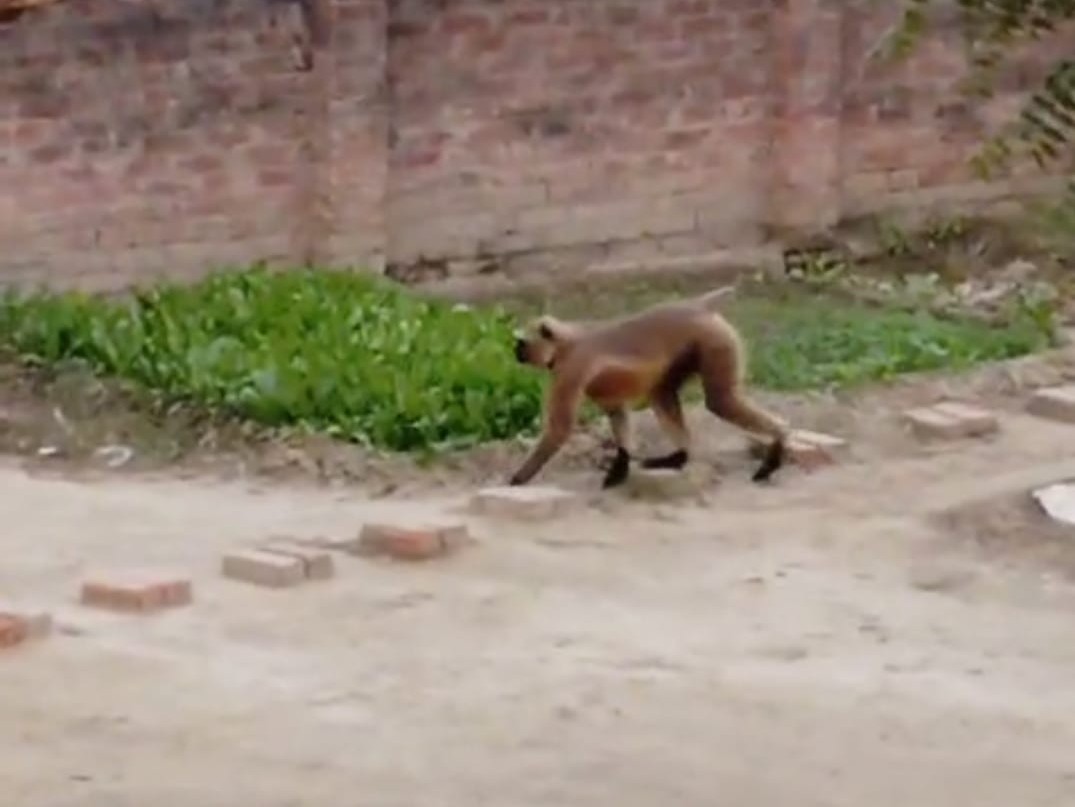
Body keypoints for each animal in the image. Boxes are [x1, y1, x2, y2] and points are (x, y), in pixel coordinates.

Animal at [508, 284, 799, 489]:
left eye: (522, 343)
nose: (515, 352)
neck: (567, 343)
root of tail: (699, 306)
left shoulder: (570, 369)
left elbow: (559, 428)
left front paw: (517, 479)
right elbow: (617, 412)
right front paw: (621, 467)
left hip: (714, 341)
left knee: (720, 400)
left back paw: (778, 441)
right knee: (662, 393)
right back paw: (679, 456)